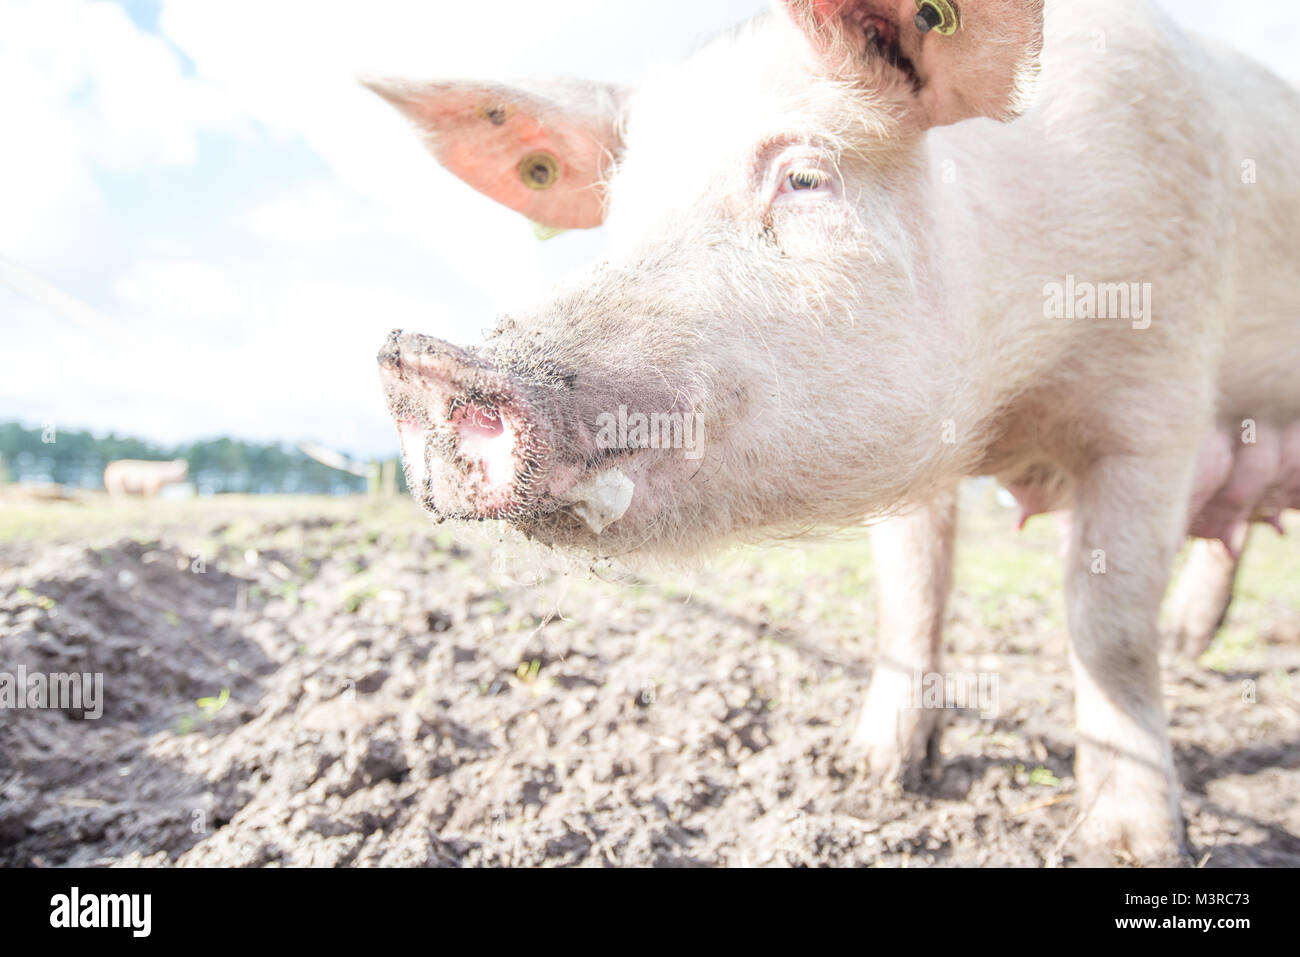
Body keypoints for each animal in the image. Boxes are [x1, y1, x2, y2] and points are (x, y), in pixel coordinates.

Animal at [369, 0, 1300, 863]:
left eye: (806, 178)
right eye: (621, 208)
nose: (417, 361)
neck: (1011, 393)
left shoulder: (1157, 400)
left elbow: (1108, 630)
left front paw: (1136, 845)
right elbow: (911, 592)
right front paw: (875, 772)